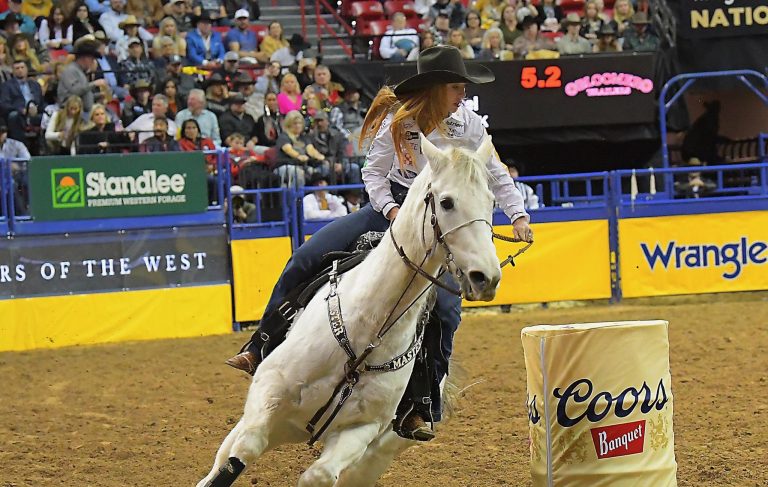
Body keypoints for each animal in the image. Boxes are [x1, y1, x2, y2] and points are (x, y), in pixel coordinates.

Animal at [197, 134, 502, 487]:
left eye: (491, 202)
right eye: (447, 202)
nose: (486, 276)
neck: (367, 332)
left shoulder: (360, 430)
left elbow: (319, 475)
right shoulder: (268, 391)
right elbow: (241, 453)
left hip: (378, 452)